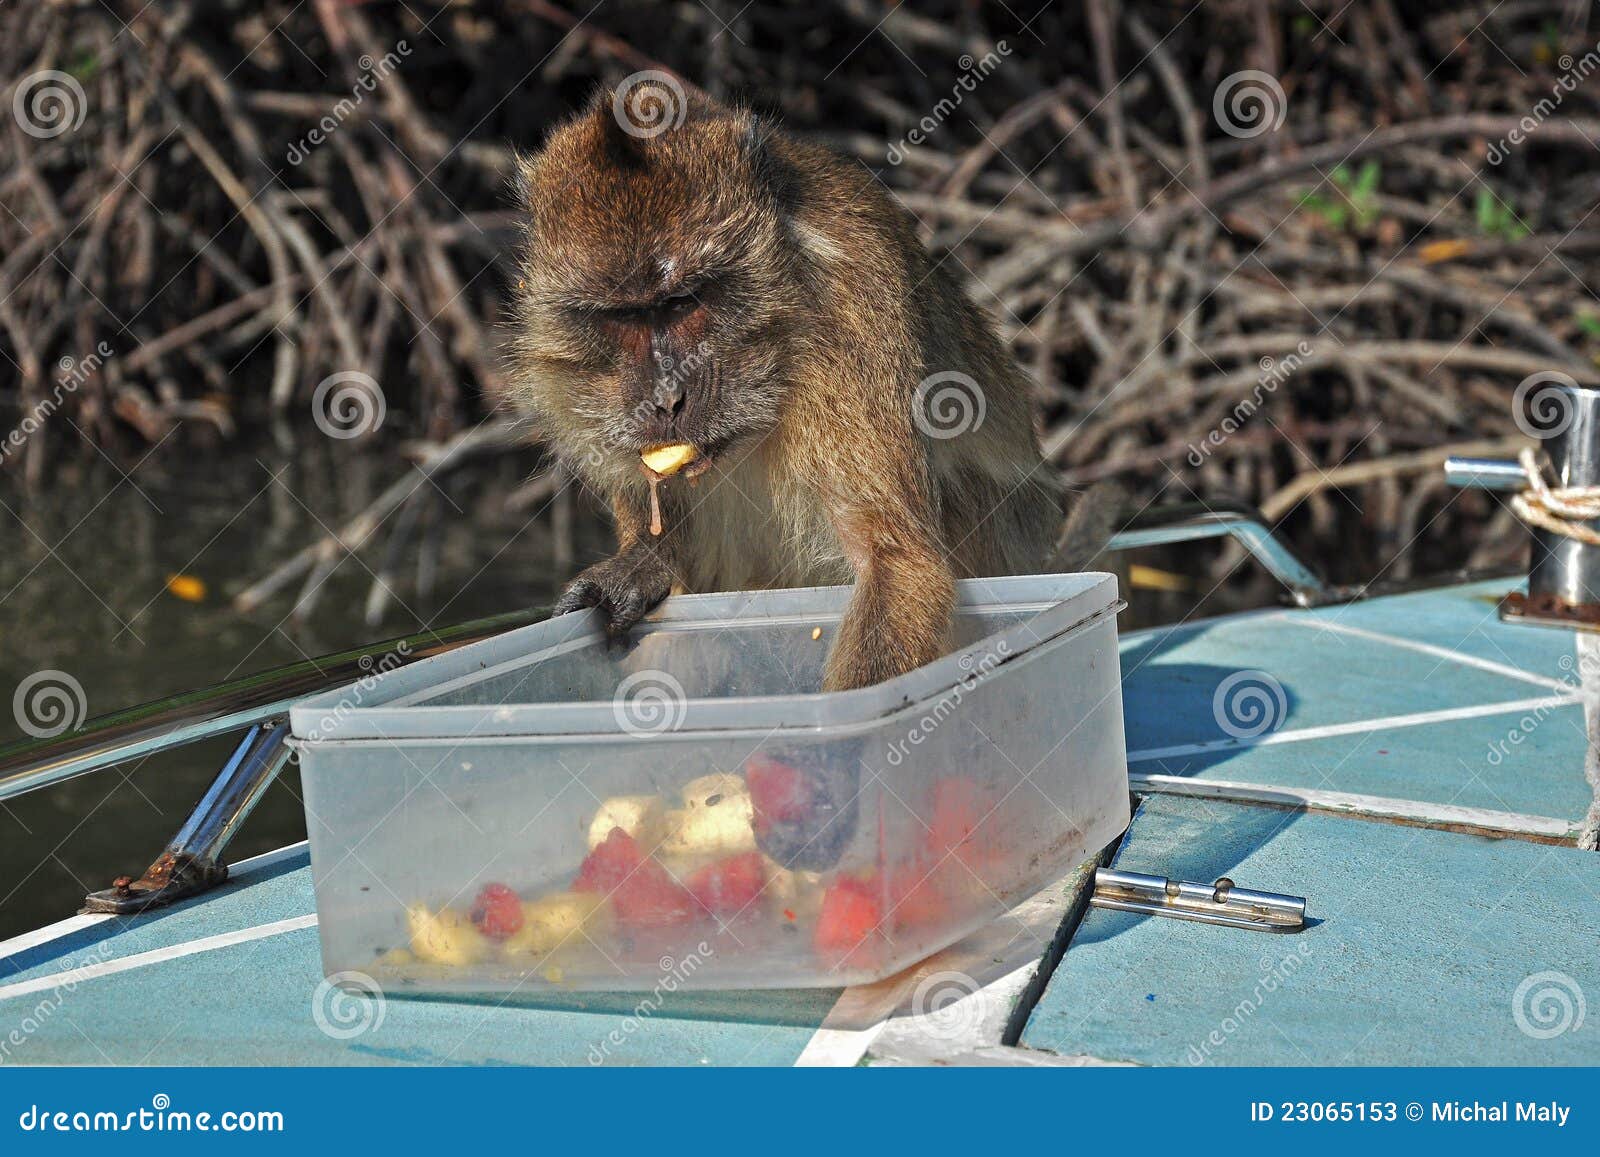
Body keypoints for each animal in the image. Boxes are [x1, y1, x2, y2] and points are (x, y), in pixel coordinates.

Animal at [507, 81, 1111, 697]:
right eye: (623, 318)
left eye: (683, 303)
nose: (667, 397)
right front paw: (641, 566)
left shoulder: (853, 310)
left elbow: (899, 564)